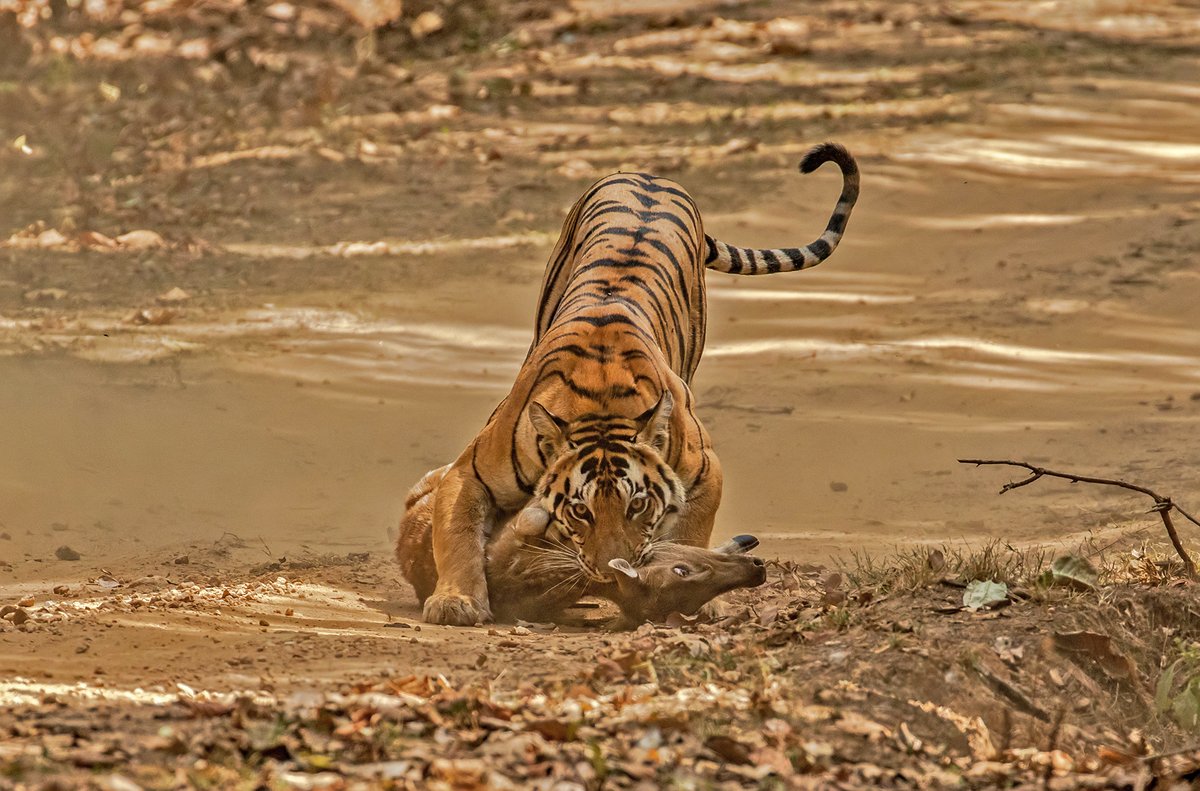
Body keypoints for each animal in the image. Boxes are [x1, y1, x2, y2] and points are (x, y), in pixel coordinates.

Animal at [422, 141, 859, 625]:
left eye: (638, 504)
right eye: (580, 510)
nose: (609, 571)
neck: (600, 402)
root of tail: (652, 175)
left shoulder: (705, 469)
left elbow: (692, 531)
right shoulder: (470, 472)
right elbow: (457, 534)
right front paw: (456, 601)